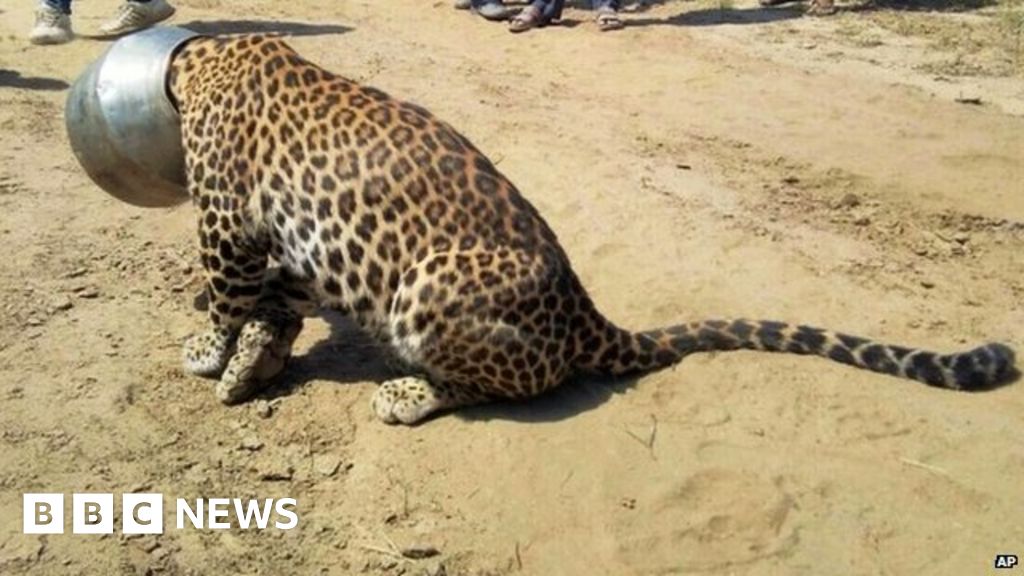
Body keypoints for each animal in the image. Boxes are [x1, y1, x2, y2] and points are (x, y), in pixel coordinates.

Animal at [165, 34, 1015, 426]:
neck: (209, 54)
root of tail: (585, 313)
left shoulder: (224, 220)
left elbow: (224, 294)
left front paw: (208, 351)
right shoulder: (294, 243)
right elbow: (276, 296)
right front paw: (254, 357)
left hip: (430, 285)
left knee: (503, 384)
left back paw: (406, 392)